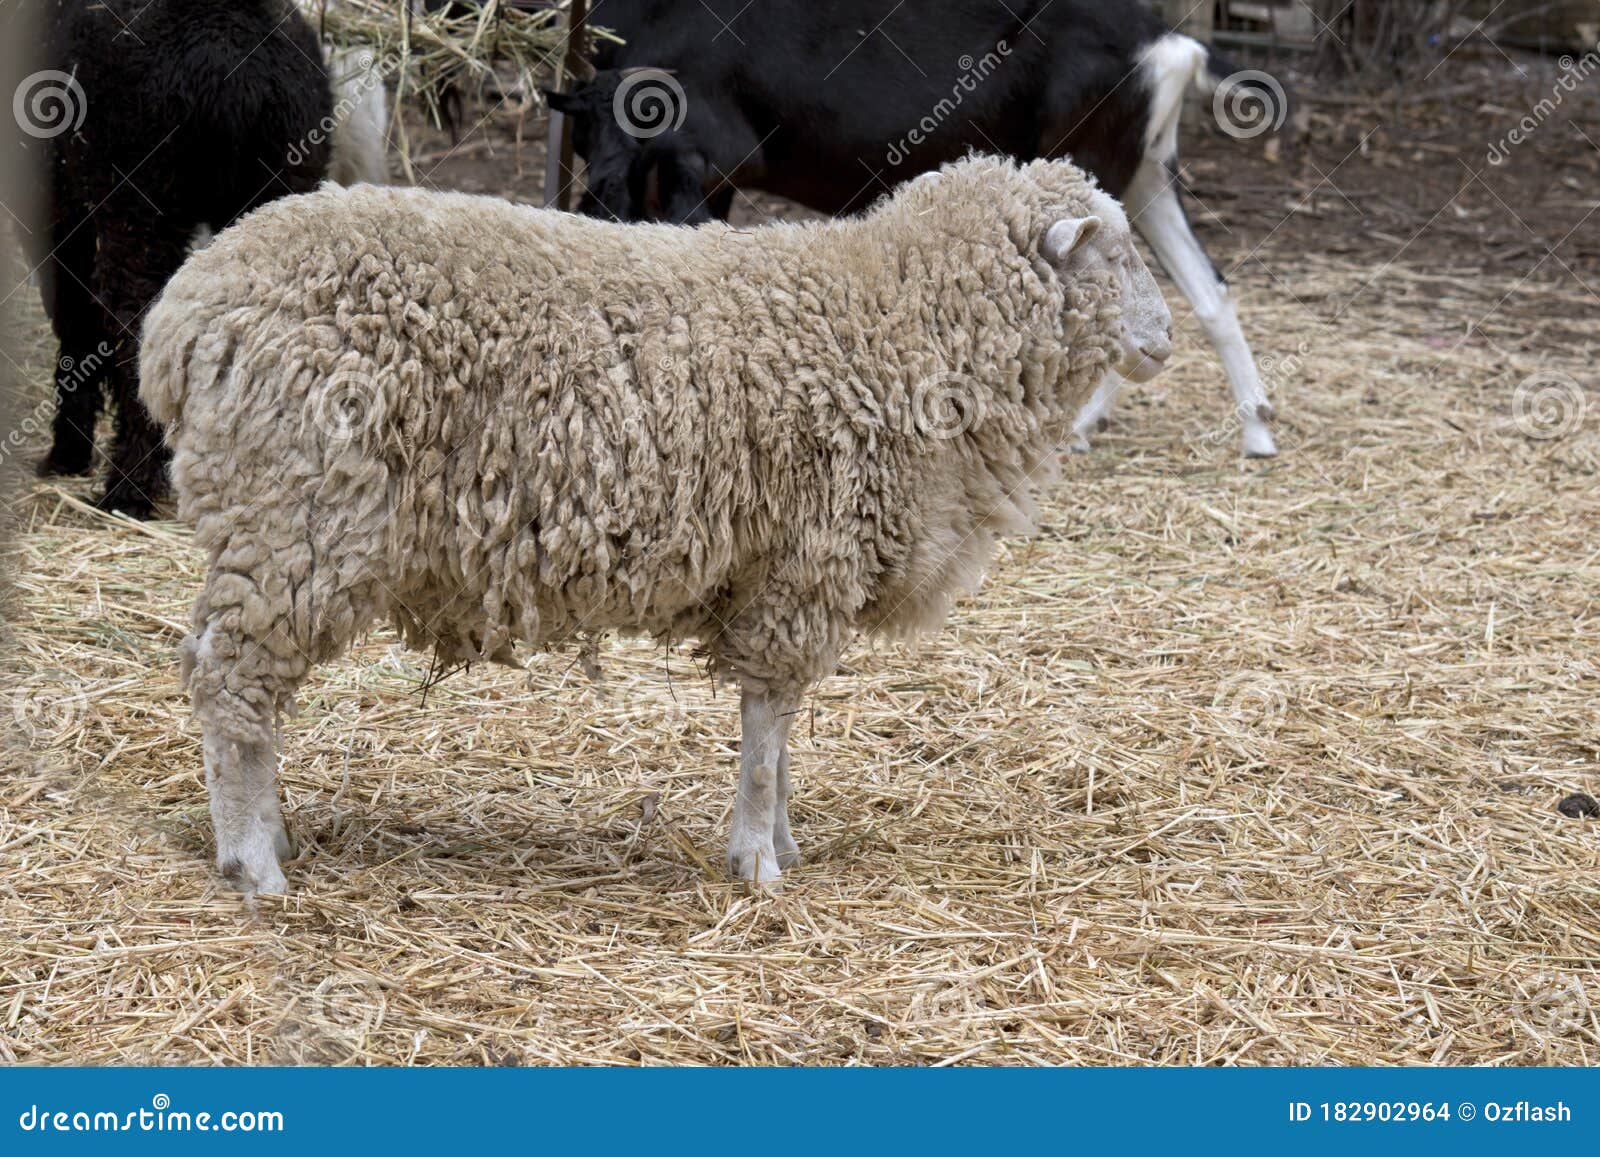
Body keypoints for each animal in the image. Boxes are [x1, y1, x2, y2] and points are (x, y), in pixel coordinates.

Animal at [23, 0, 388, 518]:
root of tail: (233, 58)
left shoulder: (52, 206)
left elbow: (74, 320)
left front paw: (66, 454)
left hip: (137, 201)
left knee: (136, 328)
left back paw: (127, 491)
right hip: (283, 180)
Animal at [139, 154, 1172, 894]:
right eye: (1112, 252)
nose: (1166, 339)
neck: (898, 319)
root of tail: (183, 314)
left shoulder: (785, 575)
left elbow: (780, 732)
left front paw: (783, 840)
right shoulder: (800, 568)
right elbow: (766, 729)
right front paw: (757, 860)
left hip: (272, 526)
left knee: (234, 687)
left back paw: (272, 834)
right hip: (293, 520)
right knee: (228, 682)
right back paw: (252, 862)